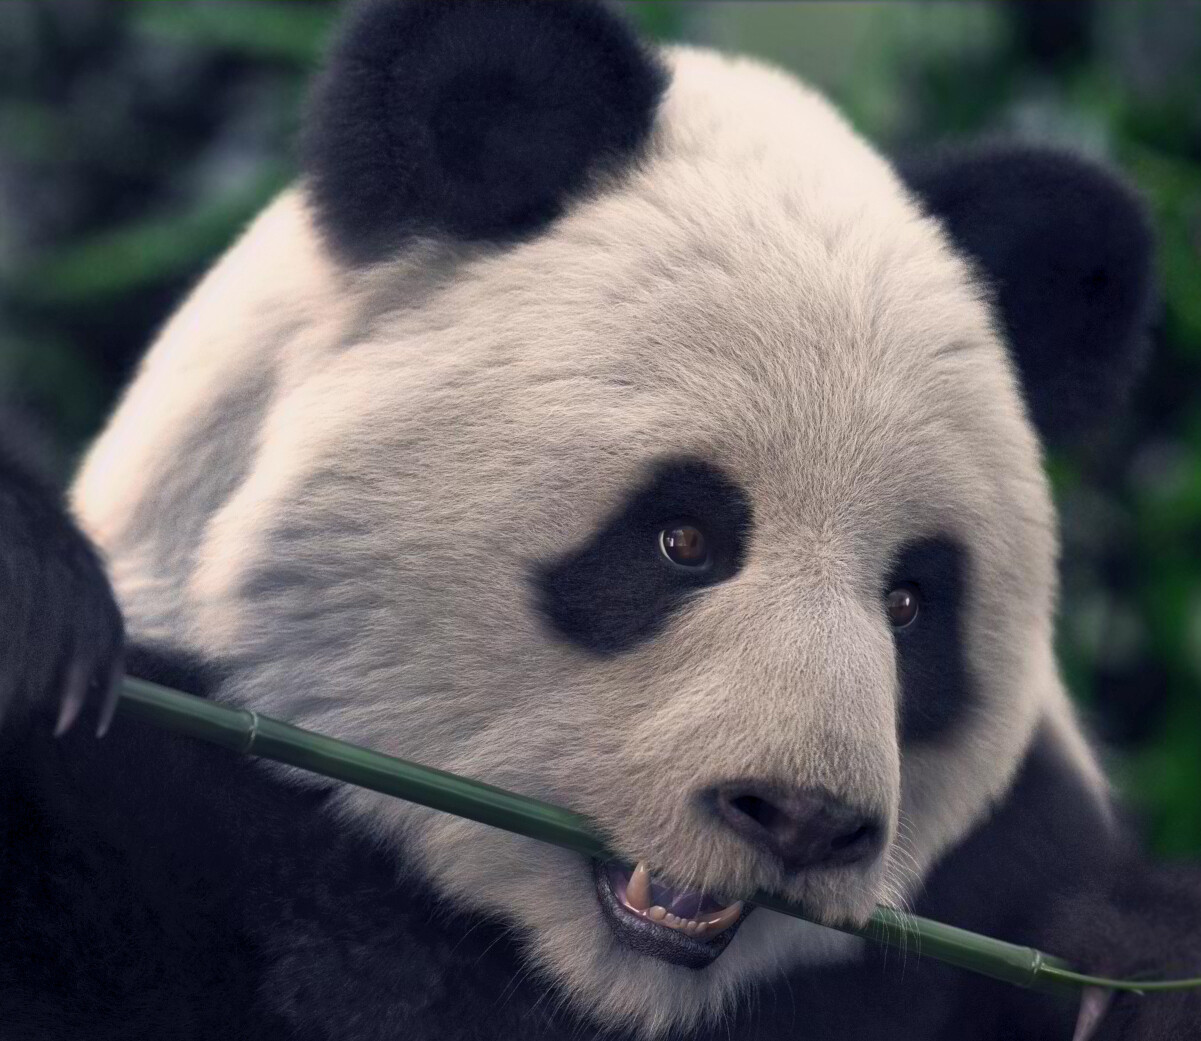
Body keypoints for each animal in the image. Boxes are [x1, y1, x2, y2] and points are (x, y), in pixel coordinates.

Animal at [2, 1, 1200, 1039]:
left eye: (910, 602)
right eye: (683, 539)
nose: (800, 816)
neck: (596, 988)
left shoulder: (983, 891)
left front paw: (1134, 983)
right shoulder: (181, 834)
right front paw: (37, 613)